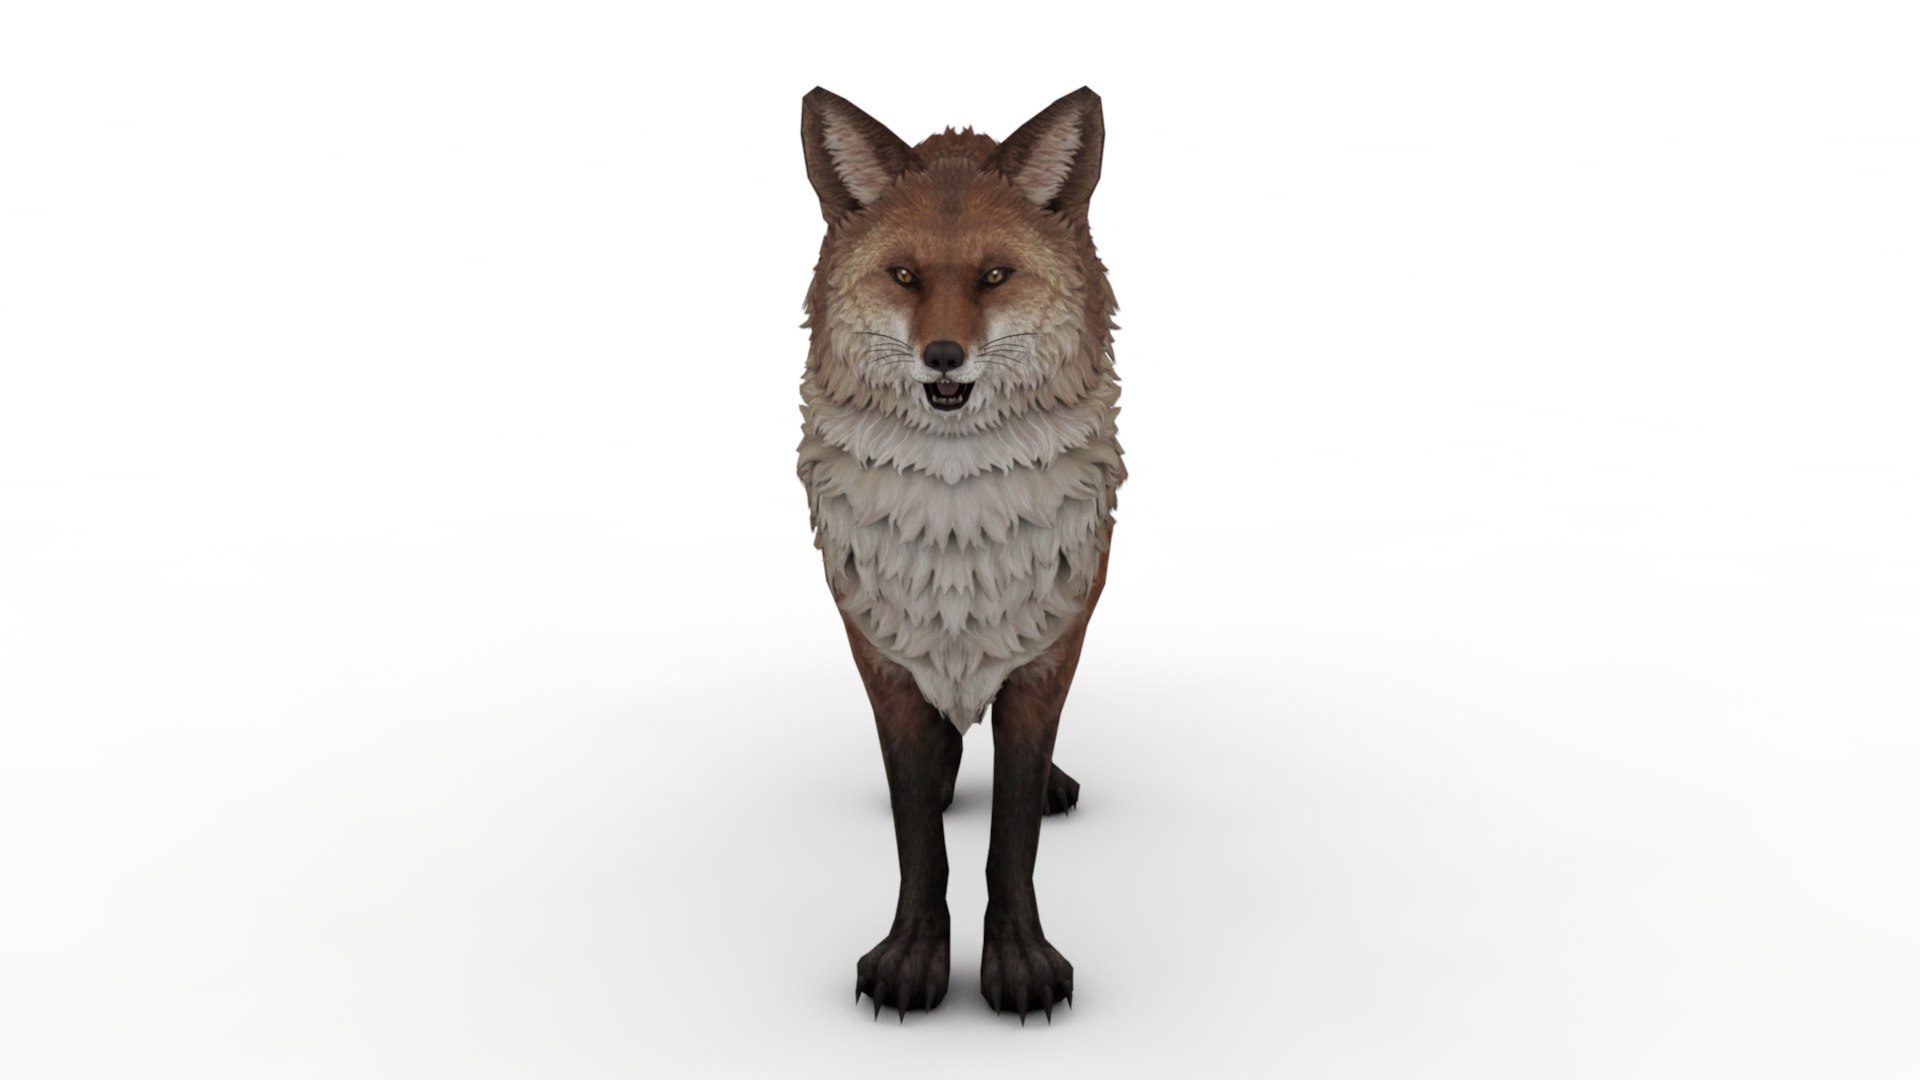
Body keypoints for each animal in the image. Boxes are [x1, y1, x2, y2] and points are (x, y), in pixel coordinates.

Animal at [795, 86, 1125, 1023]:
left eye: (995, 277)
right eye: (905, 276)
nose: (942, 356)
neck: (955, 521)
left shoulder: (1046, 653)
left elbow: (1010, 837)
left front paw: (1019, 965)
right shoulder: (881, 654)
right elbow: (920, 837)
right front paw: (913, 960)